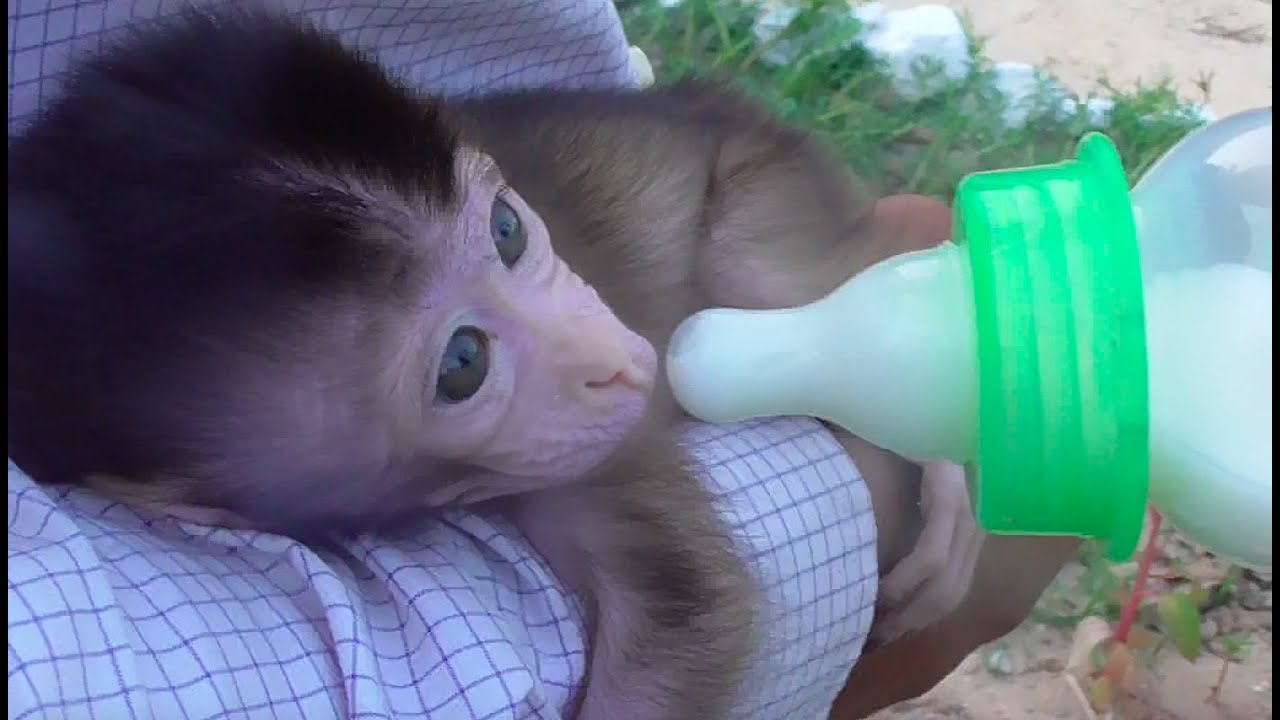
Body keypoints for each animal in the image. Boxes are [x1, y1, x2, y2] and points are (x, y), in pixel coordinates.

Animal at [7, 8, 969, 720]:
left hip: (766, 178)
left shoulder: (601, 451)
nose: (615, 362)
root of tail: (708, 101)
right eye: (463, 363)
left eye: (507, 231)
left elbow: (688, 611)